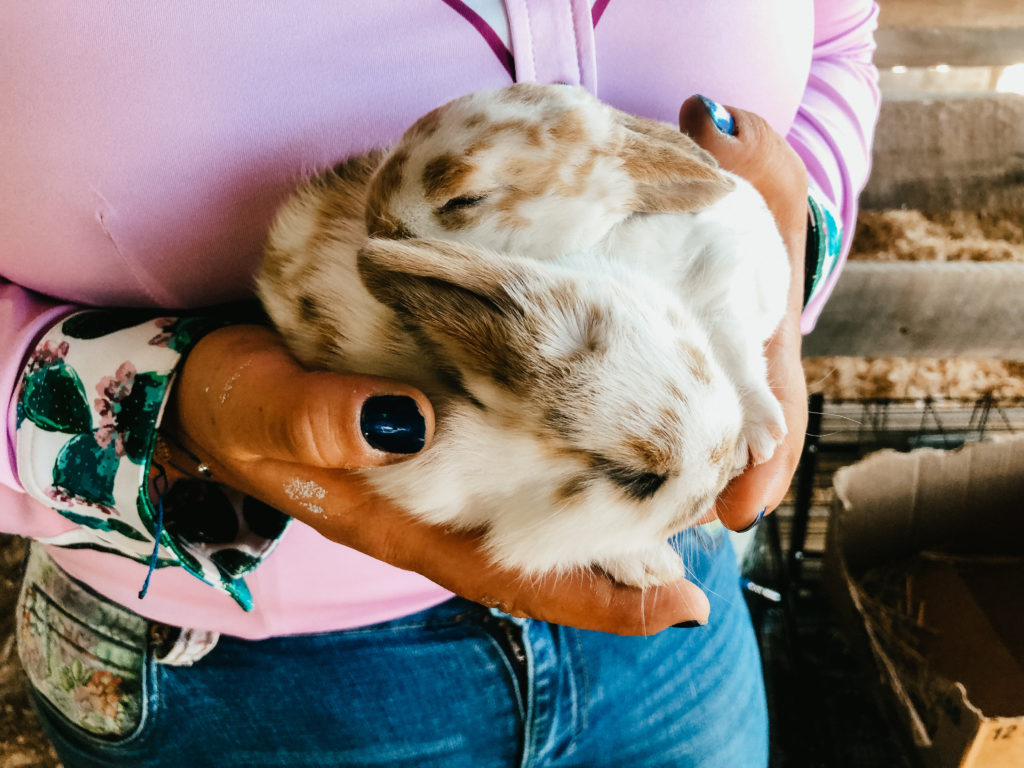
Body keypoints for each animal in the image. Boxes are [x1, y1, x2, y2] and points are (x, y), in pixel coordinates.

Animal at [256, 84, 790, 588]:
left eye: (464, 200)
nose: (373, 228)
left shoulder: (718, 281)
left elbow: (736, 350)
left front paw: (761, 434)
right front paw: (649, 566)